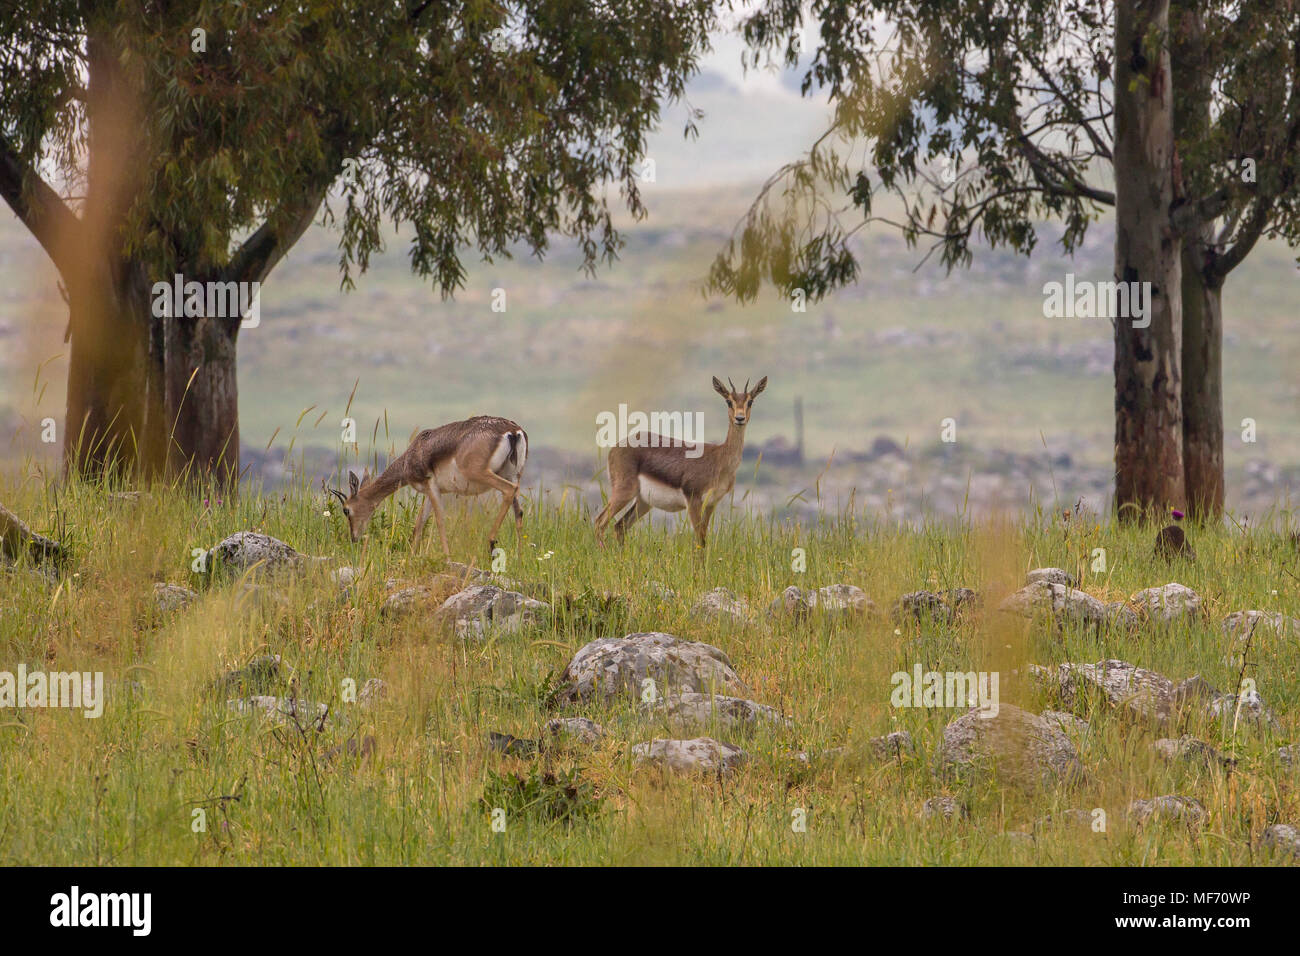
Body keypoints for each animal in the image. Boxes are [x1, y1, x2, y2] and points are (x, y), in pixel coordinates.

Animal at [326, 416, 528, 556]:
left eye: (346, 510)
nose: (353, 538)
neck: (412, 455)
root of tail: (512, 430)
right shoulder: (431, 492)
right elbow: (419, 524)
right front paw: (410, 556)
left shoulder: (431, 487)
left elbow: (439, 521)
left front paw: (447, 557)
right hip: (513, 475)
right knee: (518, 510)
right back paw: (519, 556)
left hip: (486, 475)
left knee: (509, 491)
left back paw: (491, 543)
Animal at [594, 375, 767, 548]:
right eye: (729, 401)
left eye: (750, 401)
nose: (740, 418)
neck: (720, 459)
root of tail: (615, 448)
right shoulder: (693, 501)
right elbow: (699, 540)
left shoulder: (711, 504)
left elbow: (704, 539)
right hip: (624, 491)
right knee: (600, 522)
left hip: (643, 501)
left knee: (619, 526)